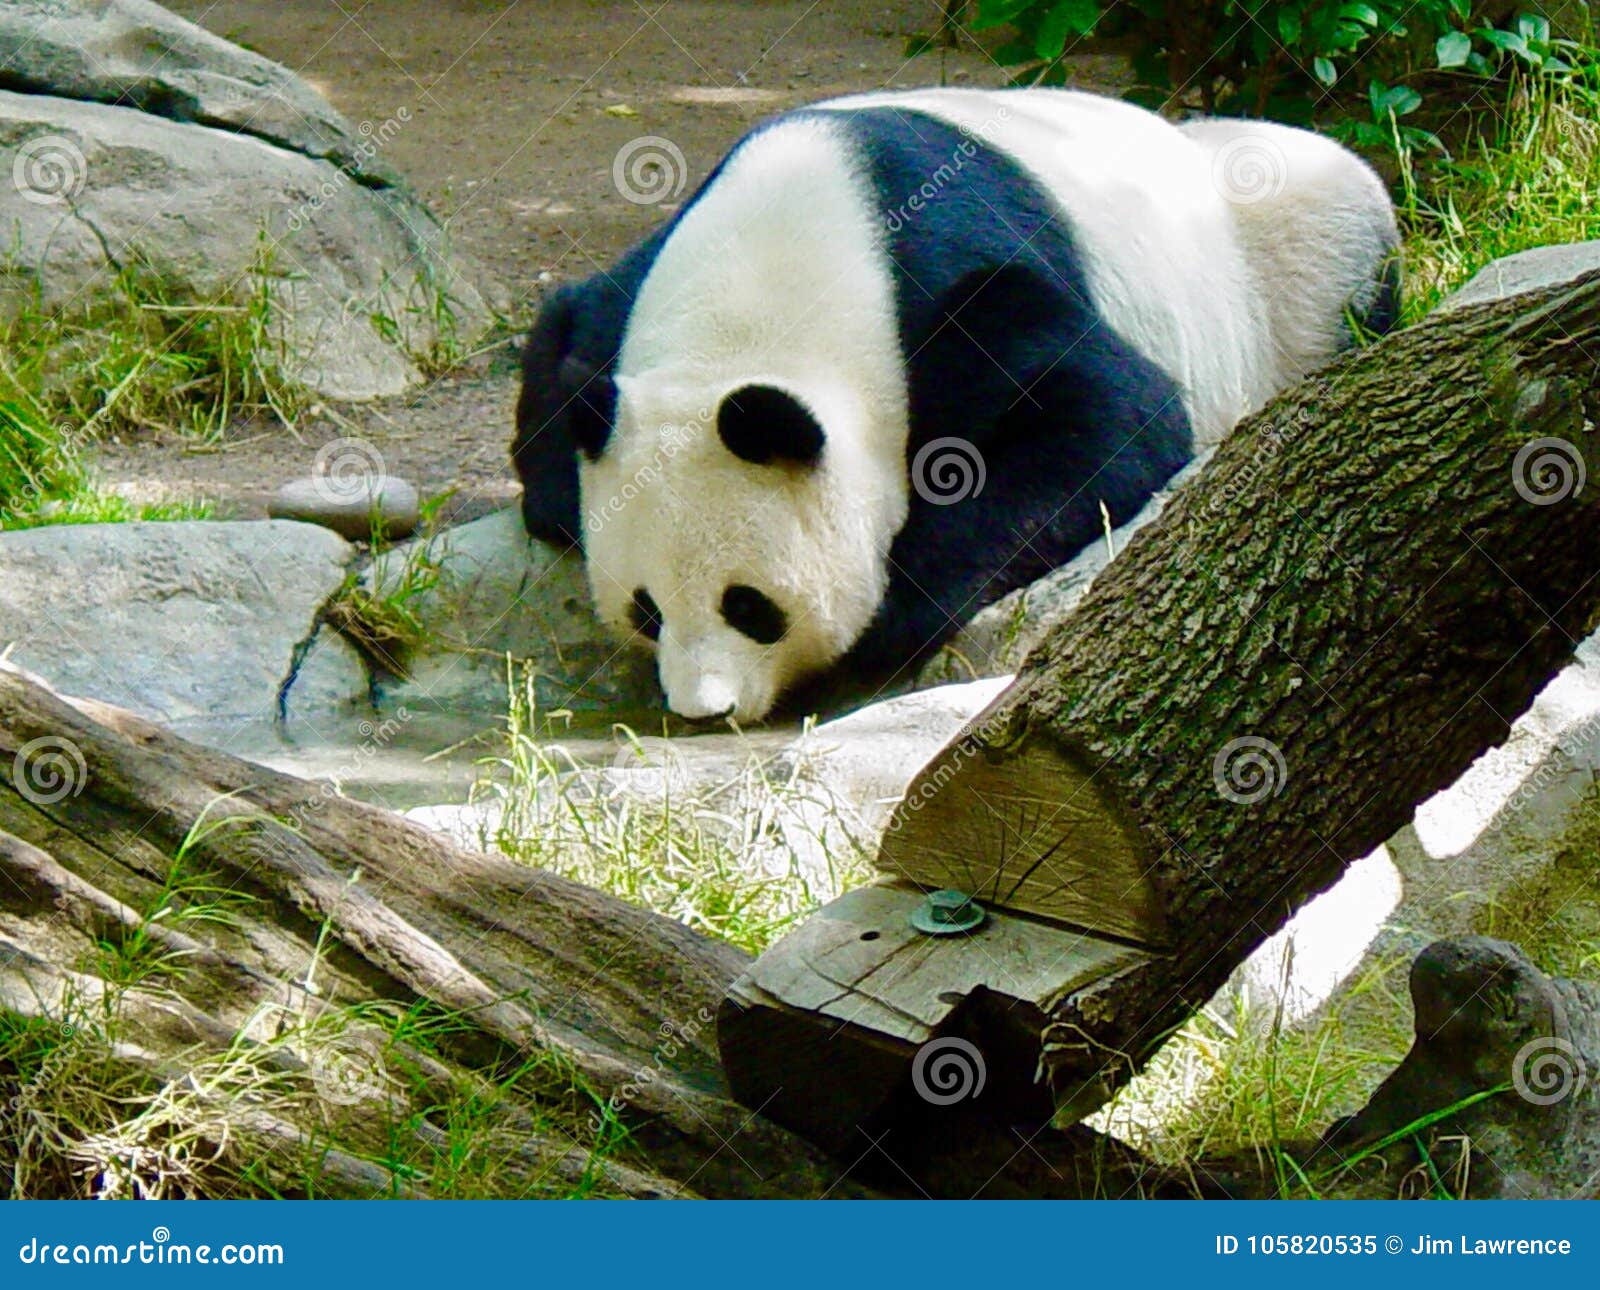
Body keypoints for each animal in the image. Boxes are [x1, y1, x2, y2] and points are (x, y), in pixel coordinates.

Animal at [513, 88, 1399, 722]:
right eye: (647, 611)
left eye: (750, 606)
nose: (705, 710)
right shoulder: (642, 287)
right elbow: (566, 345)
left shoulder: (946, 281)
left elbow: (1111, 414)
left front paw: (885, 616)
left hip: (1291, 248)